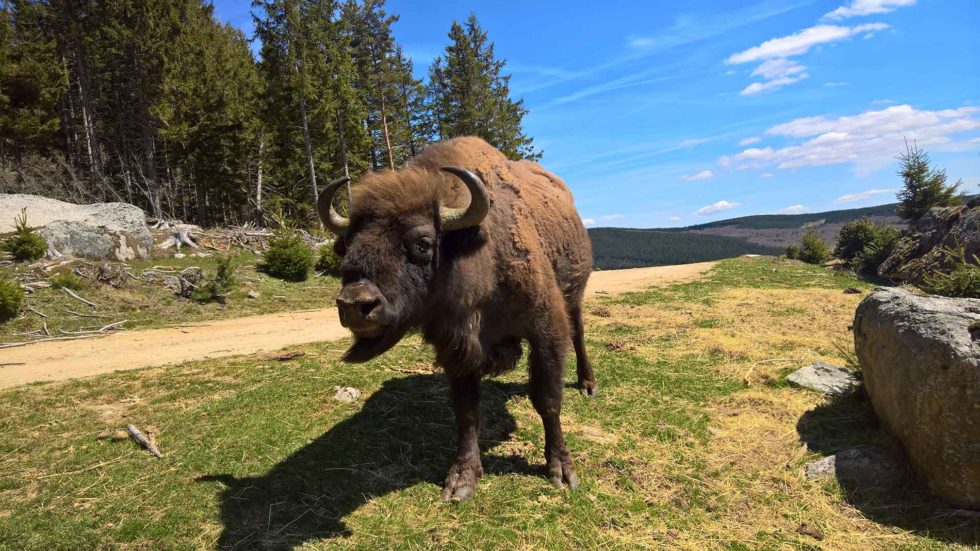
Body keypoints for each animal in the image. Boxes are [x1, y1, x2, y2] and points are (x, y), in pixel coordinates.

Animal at [317, 136, 595, 501]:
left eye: (423, 243)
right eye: (348, 244)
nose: (354, 304)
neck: (477, 253)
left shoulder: (546, 329)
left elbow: (547, 399)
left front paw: (561, 470)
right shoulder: (457, 350)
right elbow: (467, 412)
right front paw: (462, 480)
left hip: (574, 295)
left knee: (579, 335)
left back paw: (588, 384)